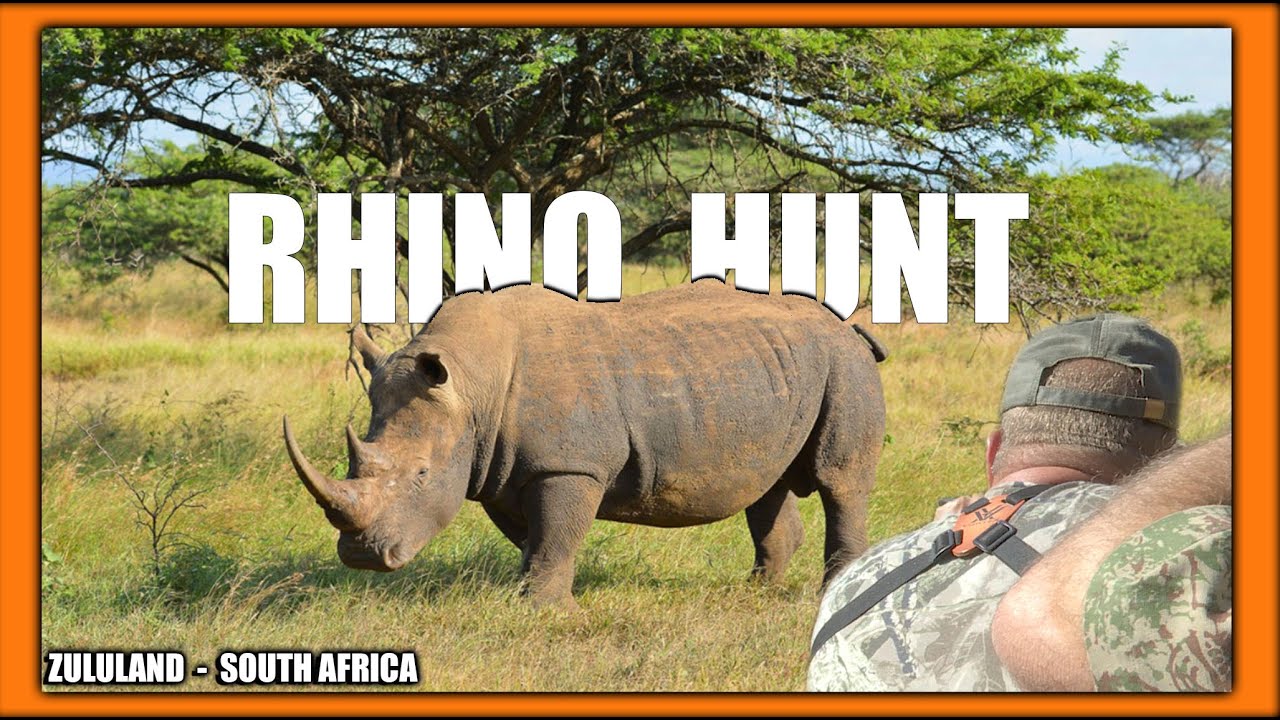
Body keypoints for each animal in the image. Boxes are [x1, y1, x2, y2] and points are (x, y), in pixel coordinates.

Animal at [283, 280, 887, 607]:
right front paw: (526, 598)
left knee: (839, 480)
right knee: (766, 482)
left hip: (844, 364)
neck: (472, 383)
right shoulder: (502, 467)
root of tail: (848, 326)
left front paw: (547, 612)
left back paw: (835, 592)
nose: (361, 557)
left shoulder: (568, 465)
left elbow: (557, 535)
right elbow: (537, 539)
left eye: (421, 476)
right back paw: (755, 593)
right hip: (771, 371)